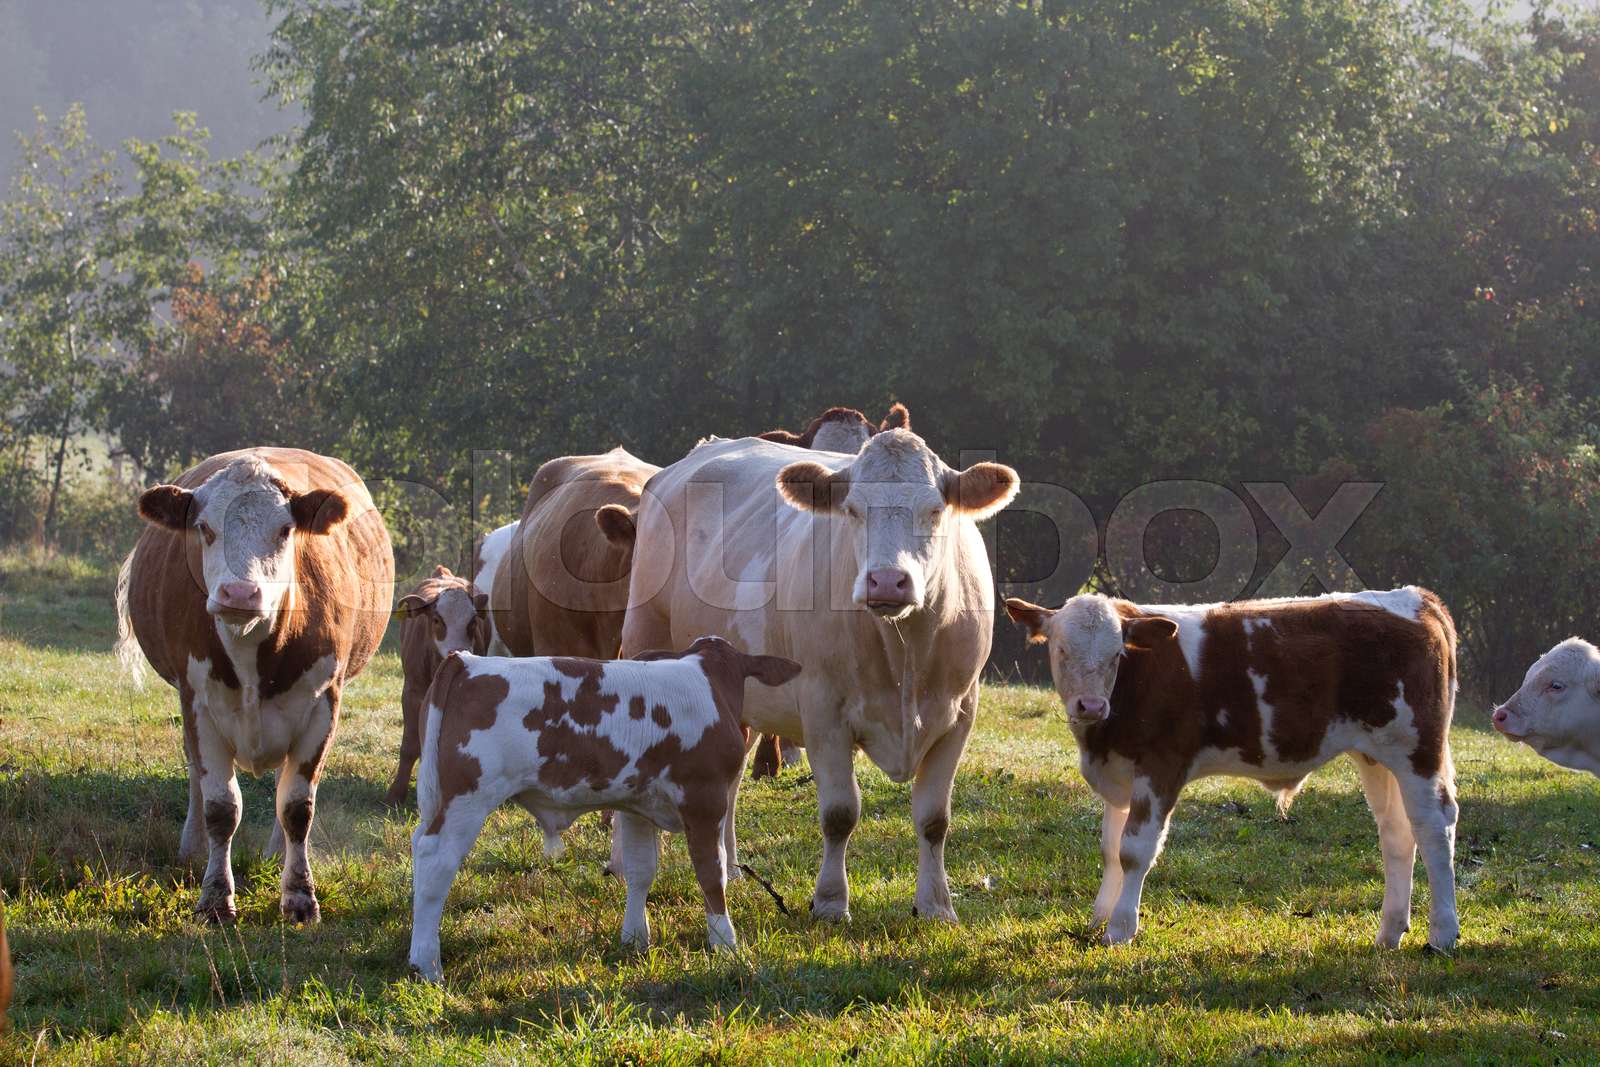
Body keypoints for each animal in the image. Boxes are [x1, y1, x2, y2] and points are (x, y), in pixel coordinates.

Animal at [115, 447, 394, 924]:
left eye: (285, 530)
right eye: (204, 529)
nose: (240, 594)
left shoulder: (322, 706)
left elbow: (296, 807)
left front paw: (299, 896)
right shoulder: (198, 704)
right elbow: (220, 807)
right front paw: (214, 898)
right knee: (195, 776)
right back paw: (192, 847)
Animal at [385, 566, 490, 806]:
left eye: (472, 622)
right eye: (436, 620)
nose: (458, 651)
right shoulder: (412, 692)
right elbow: (409, 745)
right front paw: (396, 794)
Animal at [407, 637, 802, 980]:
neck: (710, 684)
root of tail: (465, 661)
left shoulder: (636, 806)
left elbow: (641, 870)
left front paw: (635, 939)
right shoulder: (705, 799)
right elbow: (711, 872)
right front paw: (725, 942)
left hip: (439, 800)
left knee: (420, 850)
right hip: (468, 799)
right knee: (436, 862)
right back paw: (427, 963)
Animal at [1004, 587, 1460, 951]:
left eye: (1117, 653)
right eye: (1061, 649)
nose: (1092, 705)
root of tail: (1415, 599)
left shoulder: (1162, 765)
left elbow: (1134, 850)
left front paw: (1119, 929)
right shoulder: (1121, 771)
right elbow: (1110, 849)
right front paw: (1100, 917)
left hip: (1418, 749)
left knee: (1434, 828)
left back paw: (1442, 934)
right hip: (1378, 757)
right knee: (1397, 835)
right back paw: (1389, 933)